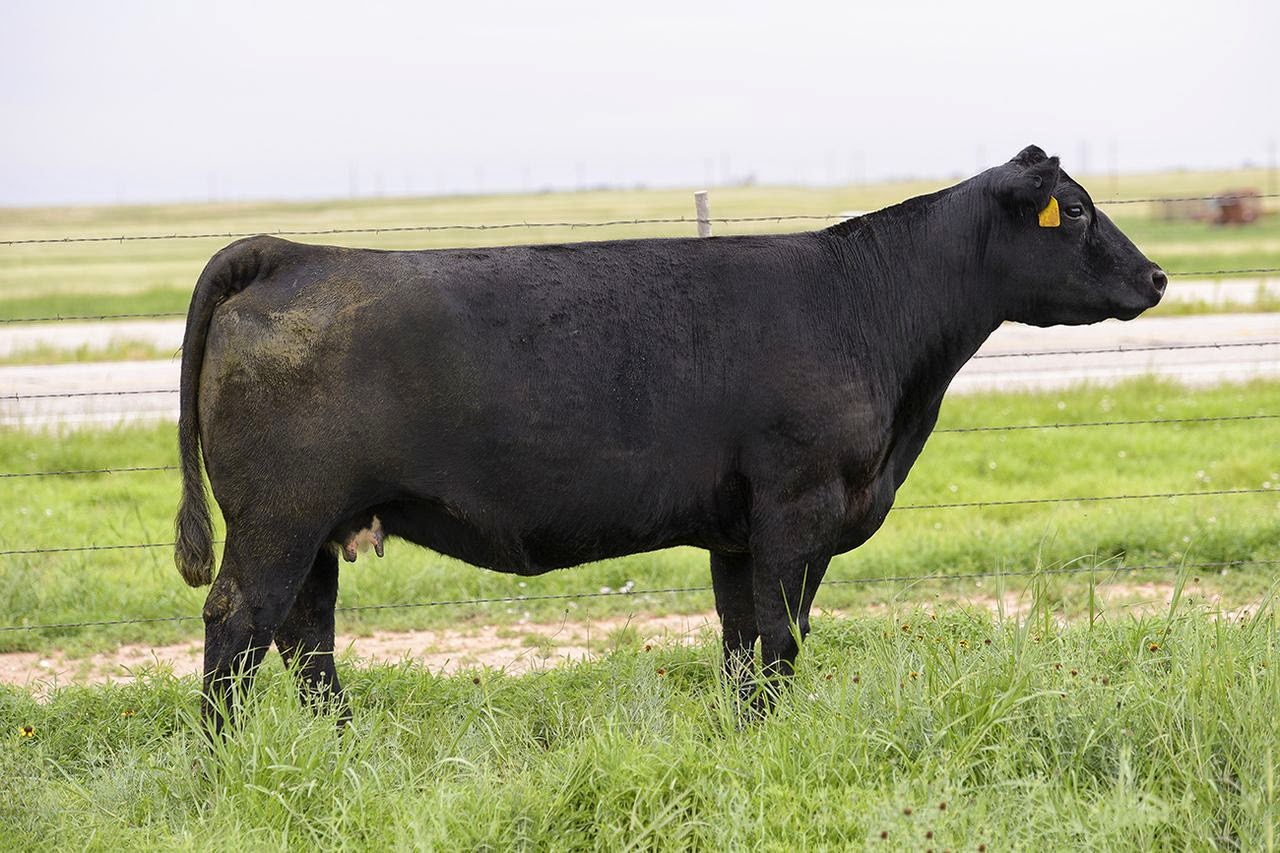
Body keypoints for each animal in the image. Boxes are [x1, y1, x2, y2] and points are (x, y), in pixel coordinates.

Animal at [175, 146, 1165, 732]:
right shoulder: (797, 505)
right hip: (279, 518)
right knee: (240, 623)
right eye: (1076, 210)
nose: (1157, 275)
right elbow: (782, 633)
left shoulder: (738, 530)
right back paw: (227, 757)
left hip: (317, 528)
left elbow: (741, 640)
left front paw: (744, 733)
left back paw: (340, 744)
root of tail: (294, 251)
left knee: (305, 637)